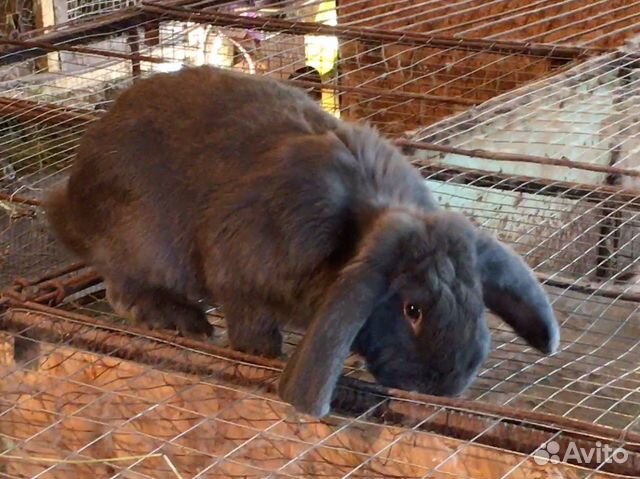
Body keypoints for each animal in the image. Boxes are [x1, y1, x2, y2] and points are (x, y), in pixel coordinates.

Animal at [45, 66, 560, 417]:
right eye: (411, 309)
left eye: (476, 301)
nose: (445, 386)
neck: (355, 226)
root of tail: (70, 199)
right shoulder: (242, 283)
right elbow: (255, 332)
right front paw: (258, 357)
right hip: (145, 246)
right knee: (123, 289)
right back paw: (184, 322)